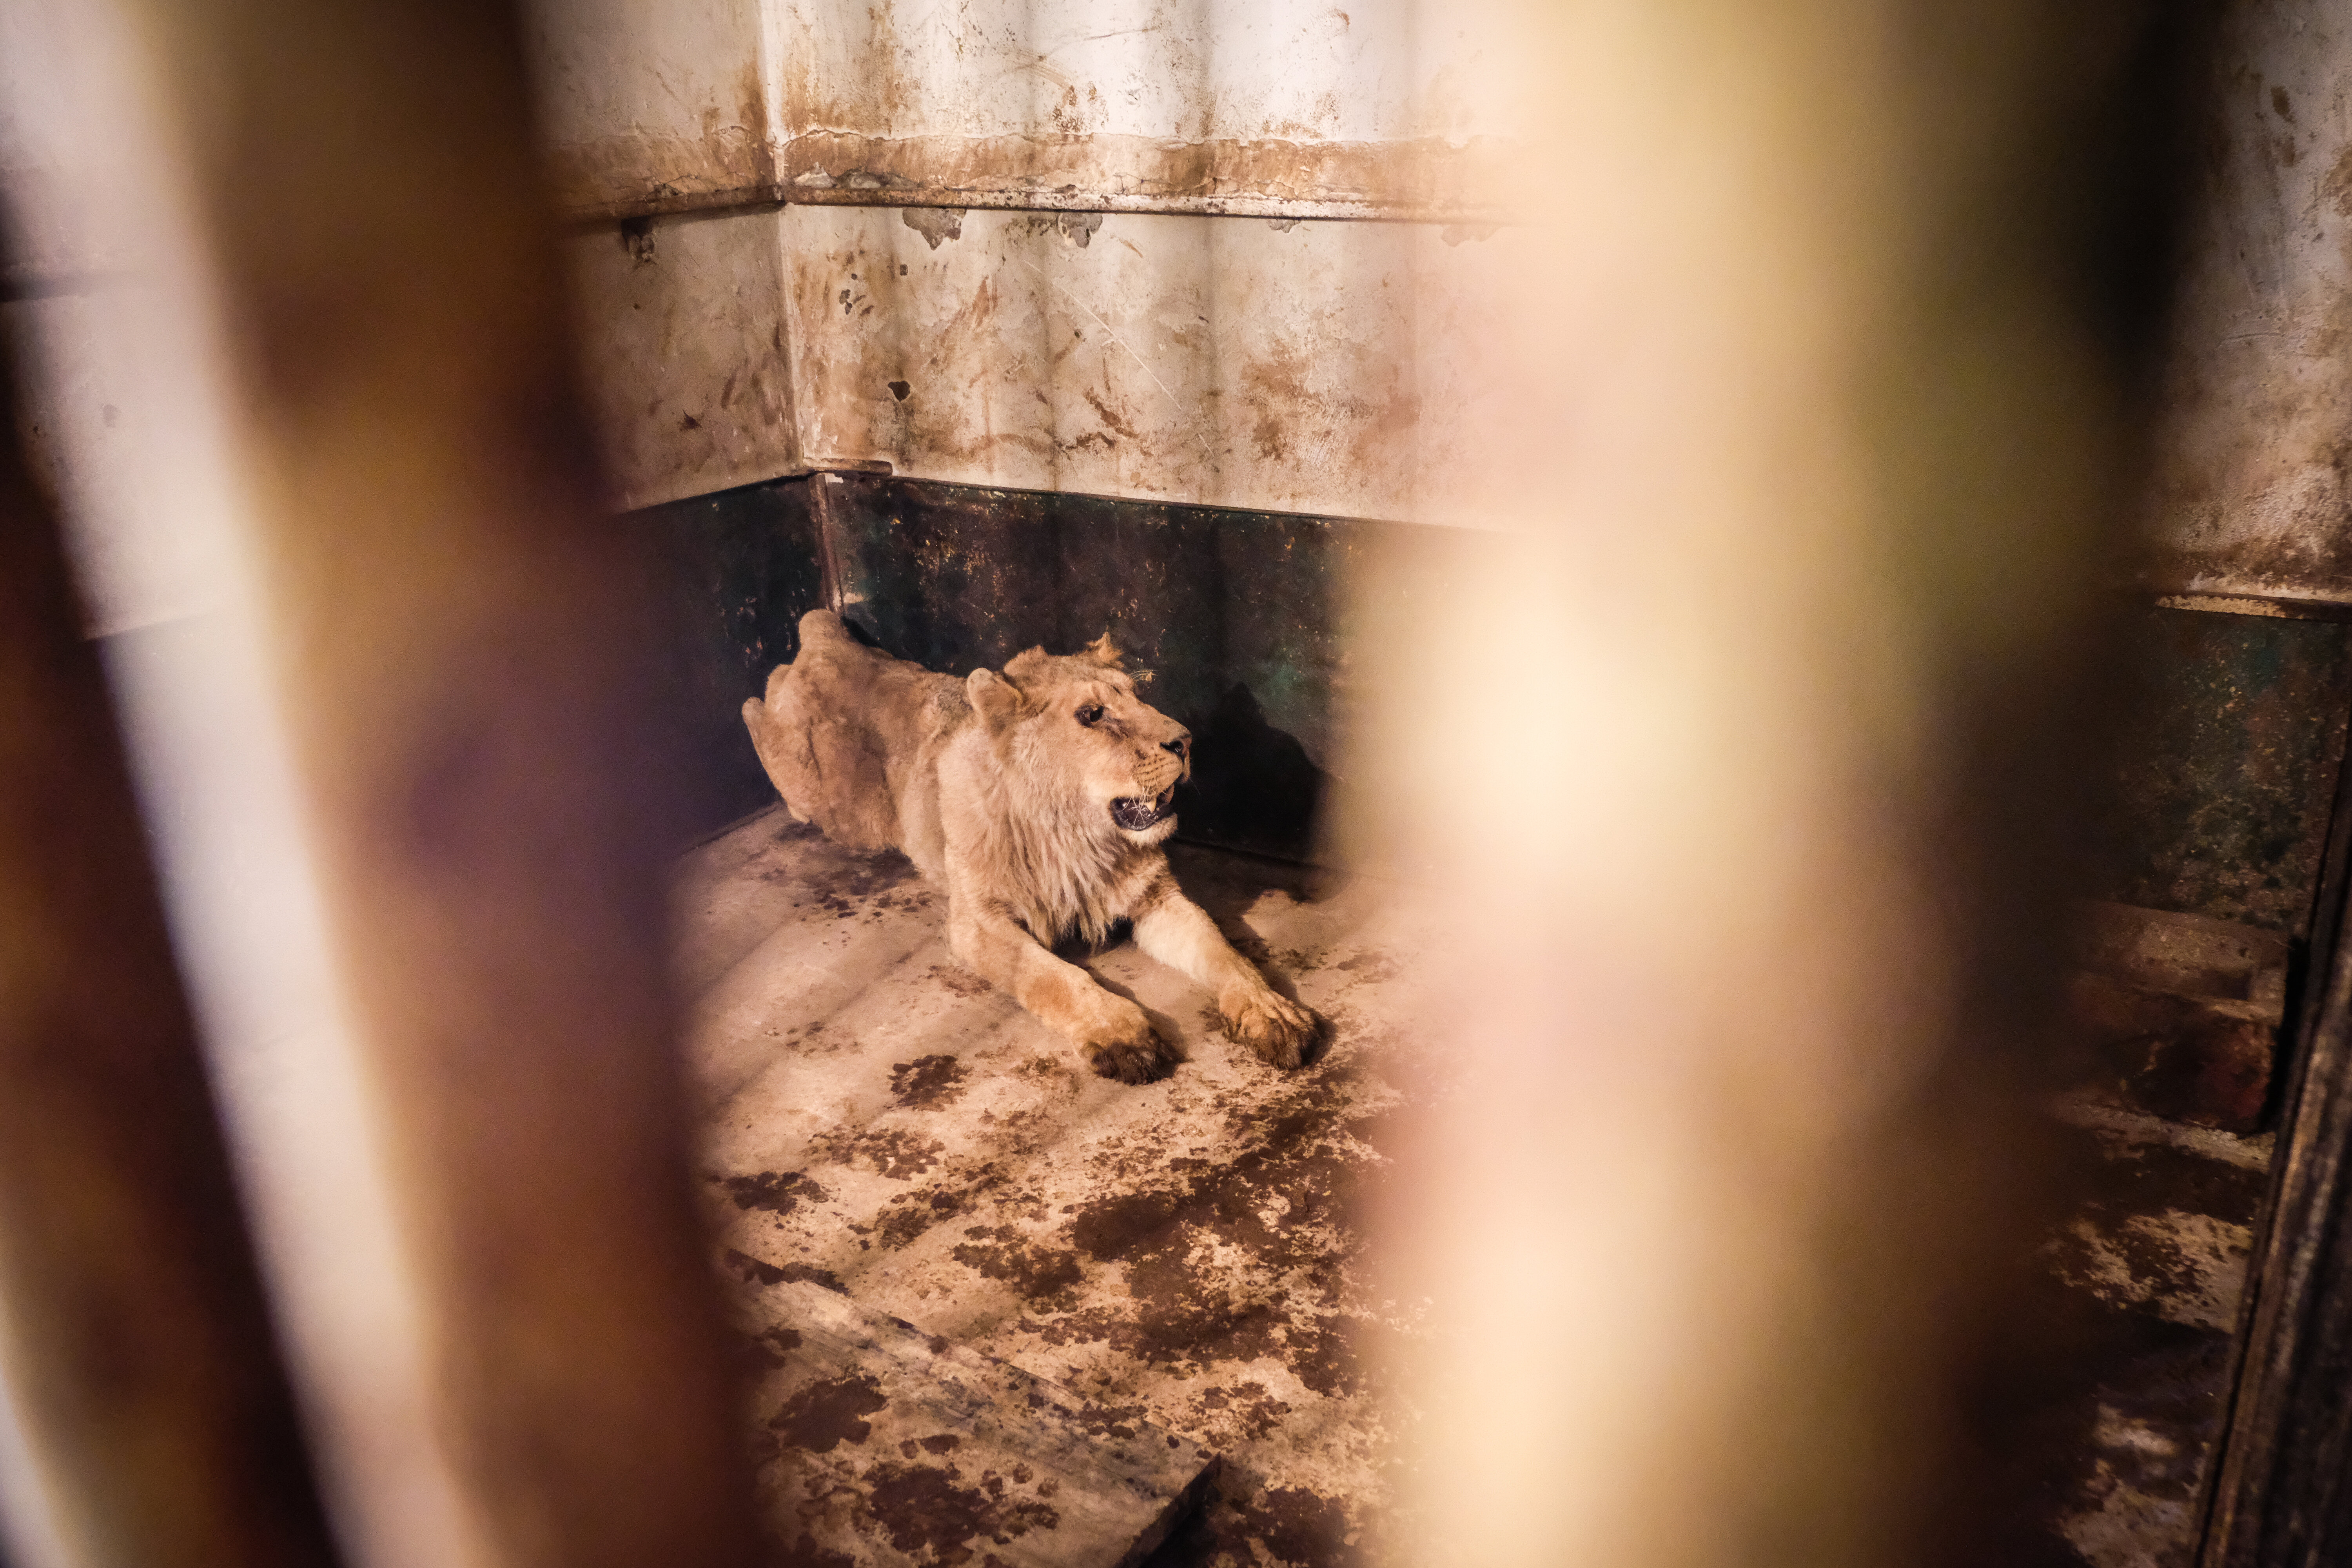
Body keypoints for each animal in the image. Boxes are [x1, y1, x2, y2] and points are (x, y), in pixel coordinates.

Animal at [741, 610, 1319, 1083]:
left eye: (1138, 697)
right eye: (1092, 715)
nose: (1186, 741)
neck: (1073, 835)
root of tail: (827, 637)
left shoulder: (1157, 898)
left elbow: (1225, 953)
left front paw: (1271, 1010)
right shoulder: (978, 923)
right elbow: (1053, 976)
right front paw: (1121, 1033)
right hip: (831, 798)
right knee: (754, 710)